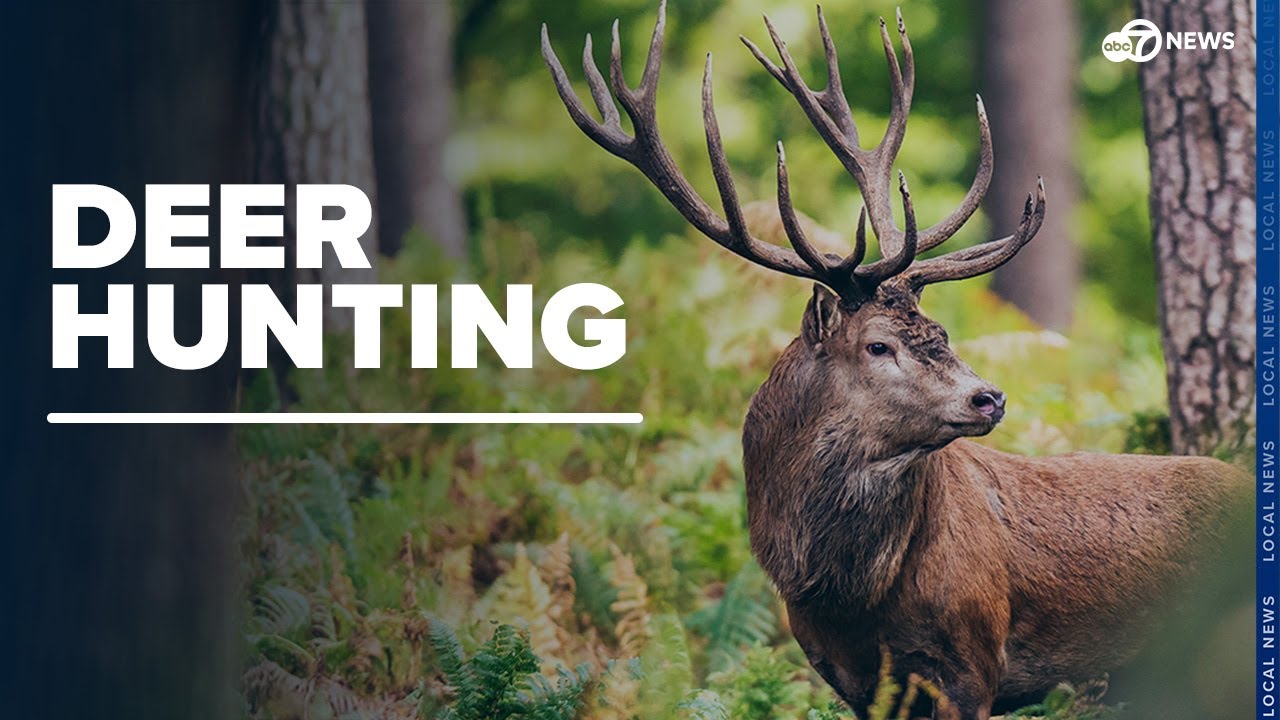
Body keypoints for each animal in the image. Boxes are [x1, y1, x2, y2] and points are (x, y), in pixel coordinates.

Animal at [541, 4, 1249, 718]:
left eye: (941, 330)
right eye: (879, 344)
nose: (989, 397)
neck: (852, 600)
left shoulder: (973, 661)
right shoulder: (844, 674)